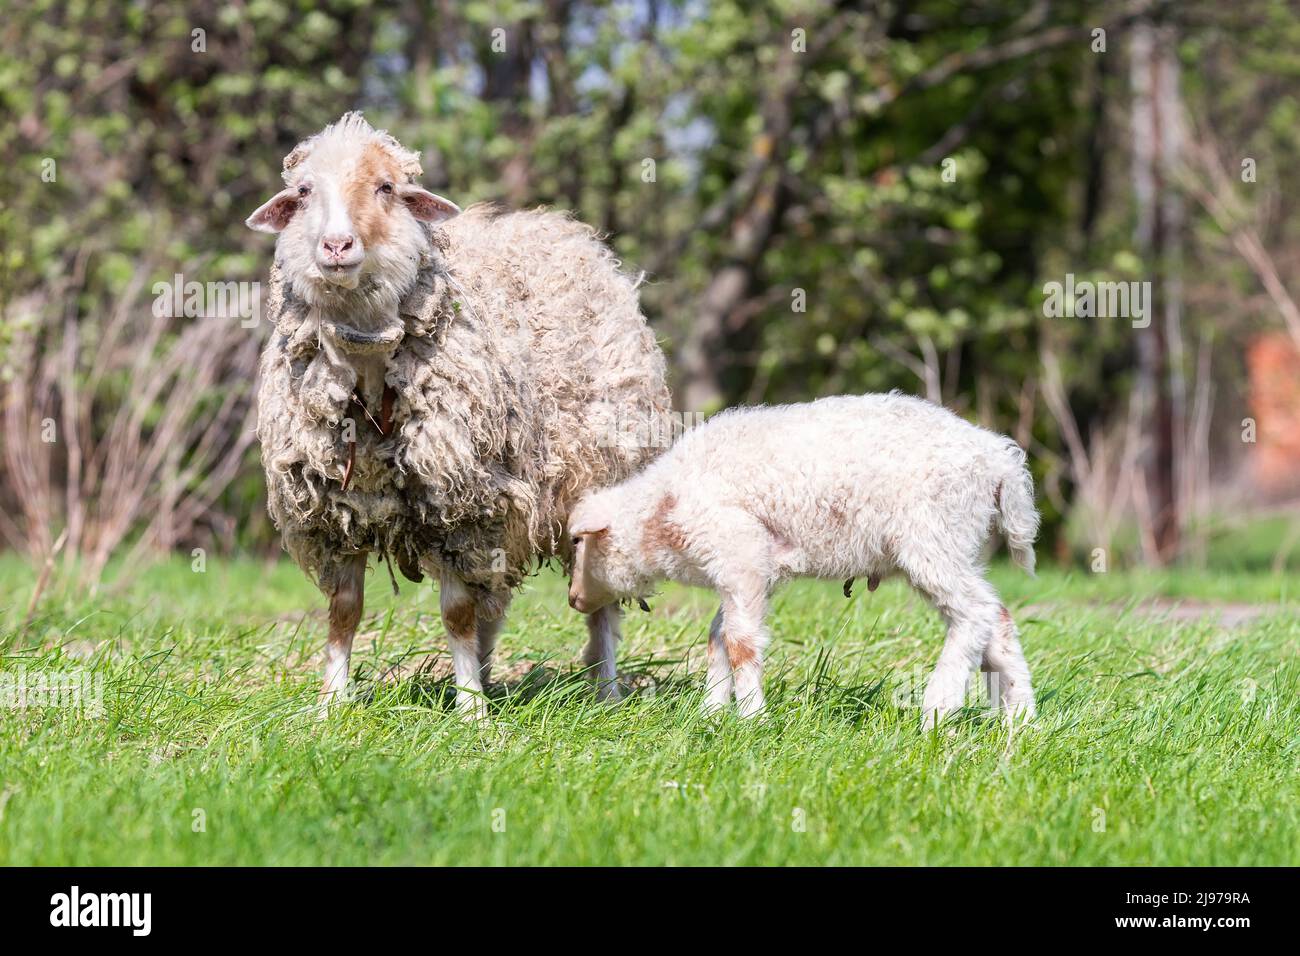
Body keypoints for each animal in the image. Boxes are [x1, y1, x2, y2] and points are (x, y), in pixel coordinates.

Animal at [245, 112, 672, 717]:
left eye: (386, 188)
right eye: (303, 192)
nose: (336, 244)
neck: (369, 380)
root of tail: (563, 231)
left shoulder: (459, 508)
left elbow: (456, 613)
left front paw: (471, 710)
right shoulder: (335, 517)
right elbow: (345, 612)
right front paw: (331, 703)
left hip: (595, 485)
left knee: (597, 605)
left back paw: (605, 690)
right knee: (494, 602)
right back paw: (490, 672)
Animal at [566, 392, 1040, 726]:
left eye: (578, 544)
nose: (572, 599)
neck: (663, 510)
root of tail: (999, 460)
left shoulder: (739, 553)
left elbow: (739, 643)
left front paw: (752, 719)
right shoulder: (752, 570)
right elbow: (718, 637)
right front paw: (711, 713)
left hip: (932, 537)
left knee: (974, 613)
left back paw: (938, 710)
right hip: (958, 543)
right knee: (997, 617)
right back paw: (1019, 719)